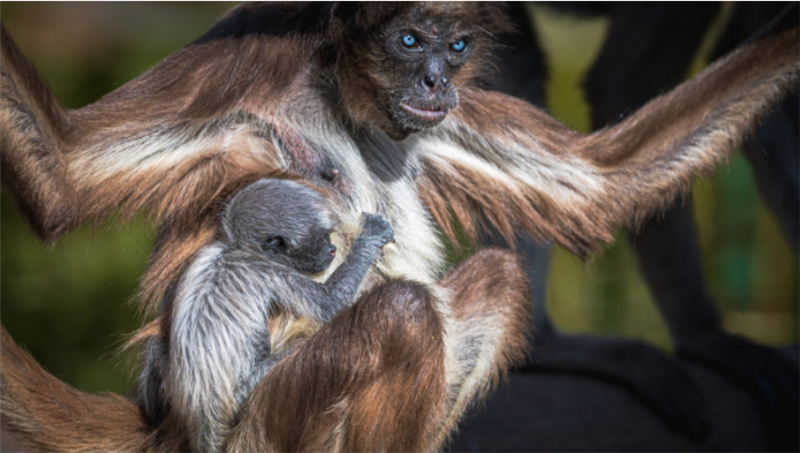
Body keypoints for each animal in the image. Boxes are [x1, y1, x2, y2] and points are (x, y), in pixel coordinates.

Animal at [138, 178, 395, 452]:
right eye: (322, 239)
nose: (332, 250)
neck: (234, 249)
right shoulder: (267, 271)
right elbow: (330, 304)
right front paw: (371, 235)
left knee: (155, 347)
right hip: (247, 390)